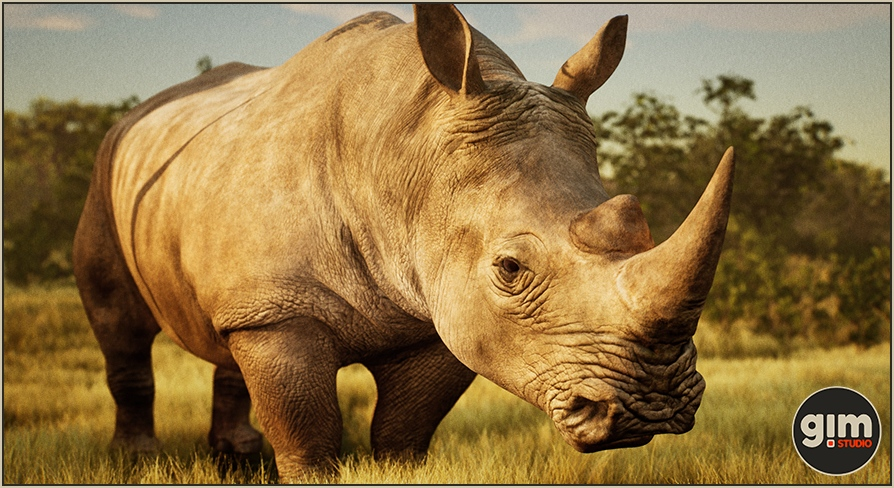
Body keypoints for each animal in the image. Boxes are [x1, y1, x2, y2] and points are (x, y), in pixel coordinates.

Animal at [73, 4, 734, 481]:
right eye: (509, 267)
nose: (654, 405)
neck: (408, 150)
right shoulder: (280, 312)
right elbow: (307, 431)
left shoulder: (436, 314)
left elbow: (405, 431)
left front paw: (397, 470)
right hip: (108, 172)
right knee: (118, 319)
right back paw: (136, 462)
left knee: (223, 332)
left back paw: (236, 455)